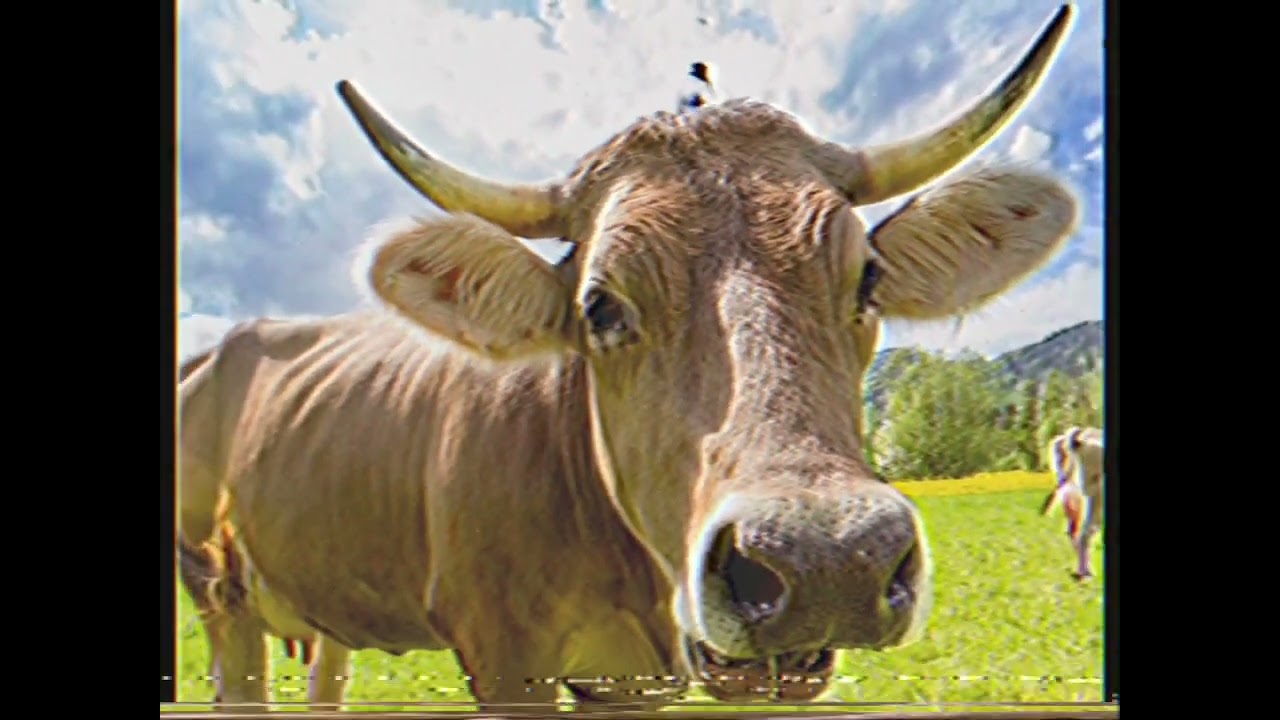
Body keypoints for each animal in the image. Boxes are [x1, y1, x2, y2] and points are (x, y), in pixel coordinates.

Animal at [177, 4, 1080, 711]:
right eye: (600, 305)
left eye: (867, 277)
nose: (826, 558)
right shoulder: (504, 657)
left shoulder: (625, 681)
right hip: (219, 593)